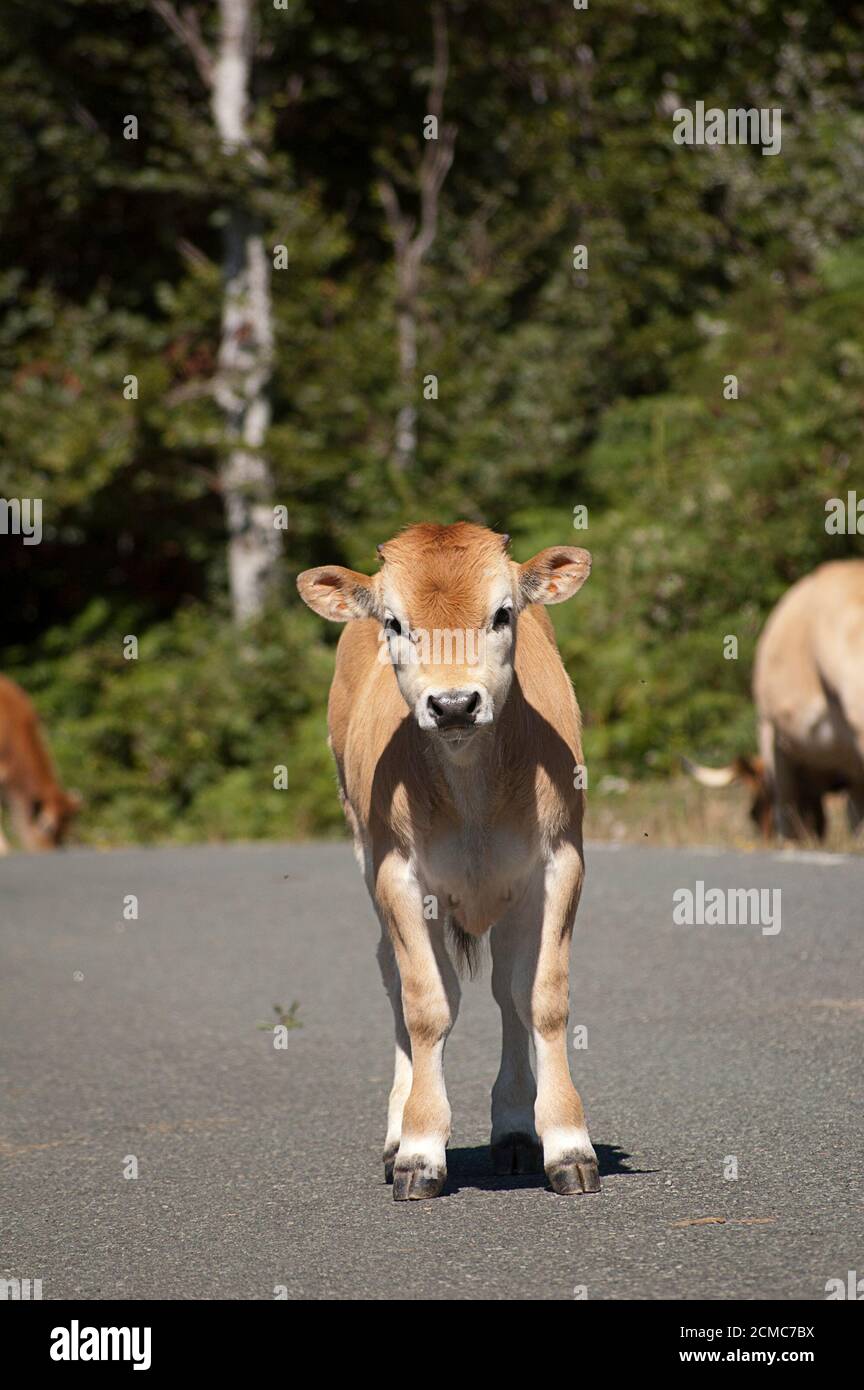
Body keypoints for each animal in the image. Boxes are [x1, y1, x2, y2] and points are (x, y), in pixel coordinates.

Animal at [297, 522, 600, 1201]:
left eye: (503, 613)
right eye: (393, 621)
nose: (455, 703)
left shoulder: (558, 864)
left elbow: (541, 998)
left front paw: (567, 1144)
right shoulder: (398, 875)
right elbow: (427, 1007)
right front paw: (418, 1151)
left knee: (507, 992)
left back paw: (514, 1132)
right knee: (399, 981)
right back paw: (398, 1133)